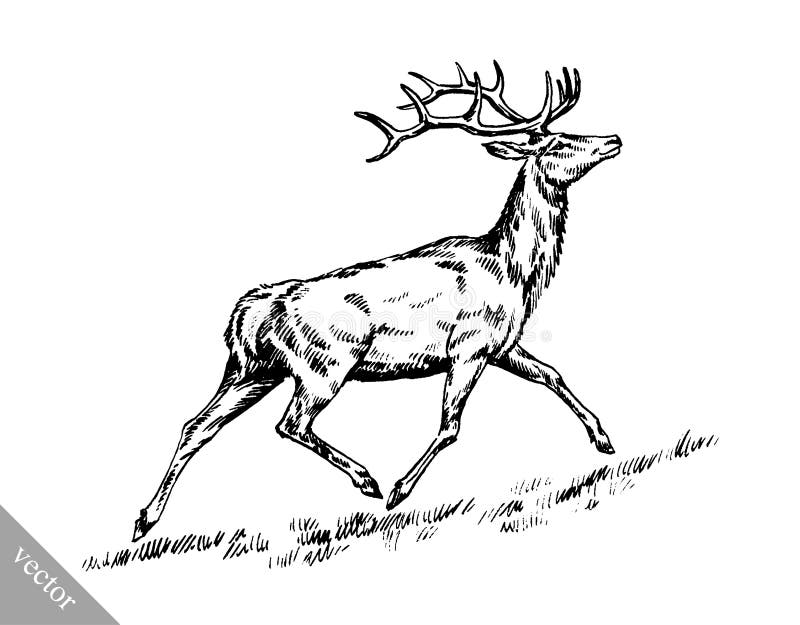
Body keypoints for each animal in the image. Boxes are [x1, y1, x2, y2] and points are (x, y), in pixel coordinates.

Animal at [132, 61, 622, 542]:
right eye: (556, 142)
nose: (613, 139)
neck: (512, 272)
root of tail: (250, 312)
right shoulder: (468, 347)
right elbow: (450, 426)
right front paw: (400, 490)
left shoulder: (501, 346)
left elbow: (553, 375)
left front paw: (603, 439)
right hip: (323, 365)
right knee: (289, 423)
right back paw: (368, 480)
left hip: (252, 370)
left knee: (196, 425)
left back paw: (145, 521)